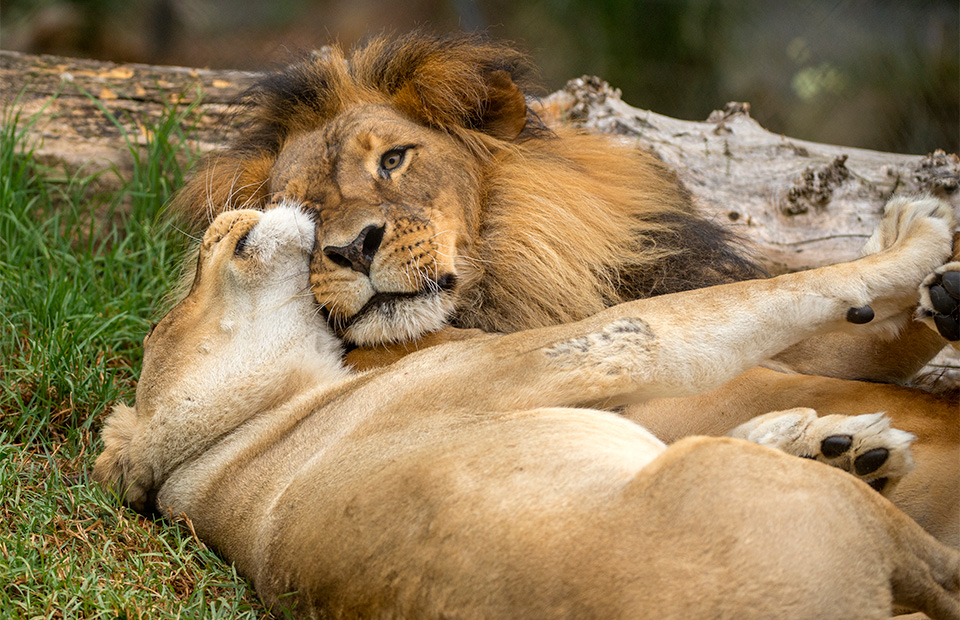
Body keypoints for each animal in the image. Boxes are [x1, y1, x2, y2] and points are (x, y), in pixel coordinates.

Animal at [94, 198, 960, 619]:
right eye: (194, 274)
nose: (224, 220)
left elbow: (853, 339)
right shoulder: (599, 348)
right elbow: (774, 295)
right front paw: (918, 244)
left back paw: (844, 445)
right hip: (741, 483)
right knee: (941, 573)